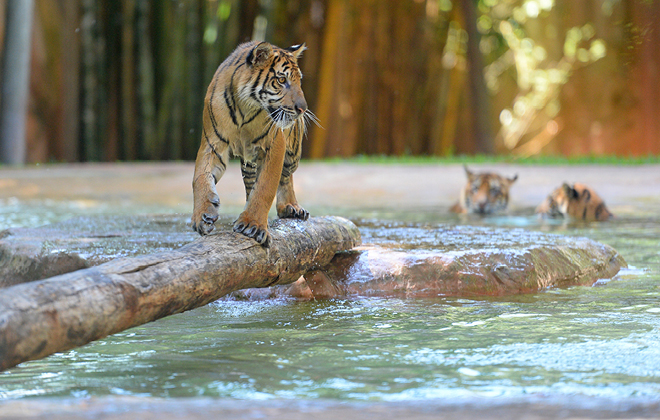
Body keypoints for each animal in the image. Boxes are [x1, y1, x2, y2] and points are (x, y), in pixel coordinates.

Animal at [191, 41, 314, 246]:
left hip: (292, 155)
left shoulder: (275, 145)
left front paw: (253, 224)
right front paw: (202, 216)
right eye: (282, 80)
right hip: (249, 164)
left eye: (299, 81)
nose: (303, 109)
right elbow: (199, 178)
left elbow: (266, 186)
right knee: (251, 186)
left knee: (286, 177)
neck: (245, 107)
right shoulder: (212, 144)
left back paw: (291, 207)